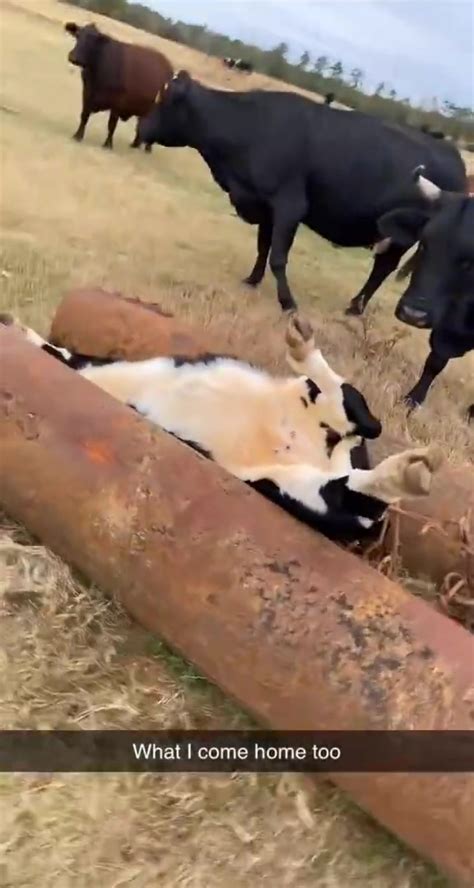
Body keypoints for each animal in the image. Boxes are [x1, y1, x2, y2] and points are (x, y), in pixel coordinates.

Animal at [1, 312, 442, 545]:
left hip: (313, 421)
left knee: (347, 402)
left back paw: (303, 347)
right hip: (287, 486)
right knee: (350, 487)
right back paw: (410, 472)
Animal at [64, 22, 173, 151]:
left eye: (92, 40)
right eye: (77, 36)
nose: (73, 57)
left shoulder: (118, 103)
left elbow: (112, 125)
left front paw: (108, 144)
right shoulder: (87, 94)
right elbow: (84, 117)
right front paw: (77, 136)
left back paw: (147, 148)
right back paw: (135, 144)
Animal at [137, 72, 466, 315]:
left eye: (162, 100)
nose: (141, 128)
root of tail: (453, 155)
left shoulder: (289, 204)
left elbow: (278, 257)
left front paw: (288, 303)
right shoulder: (265, 205)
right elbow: (263, 247)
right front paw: (252, 280)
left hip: (402, 235)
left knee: (383, 267)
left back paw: (355, 307)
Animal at [377, 167, 474, 411]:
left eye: (469, 260)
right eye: (423, 243)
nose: (413, 313)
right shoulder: (445, 326)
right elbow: (435, 361)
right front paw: (413, 398)